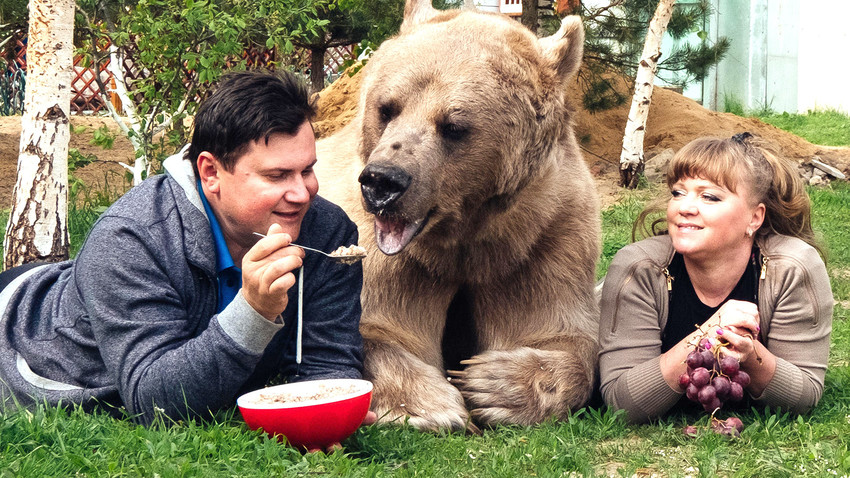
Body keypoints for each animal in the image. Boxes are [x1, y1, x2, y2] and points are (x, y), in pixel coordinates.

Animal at [314, 0, 601, 432]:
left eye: (453, 125)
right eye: (387, 108)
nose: (383, 182)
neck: (462, 238)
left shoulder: (544, 237)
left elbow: (557, 331)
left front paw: (493, 385)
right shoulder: (377, 248)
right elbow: (374, 324)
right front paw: (430, 404)